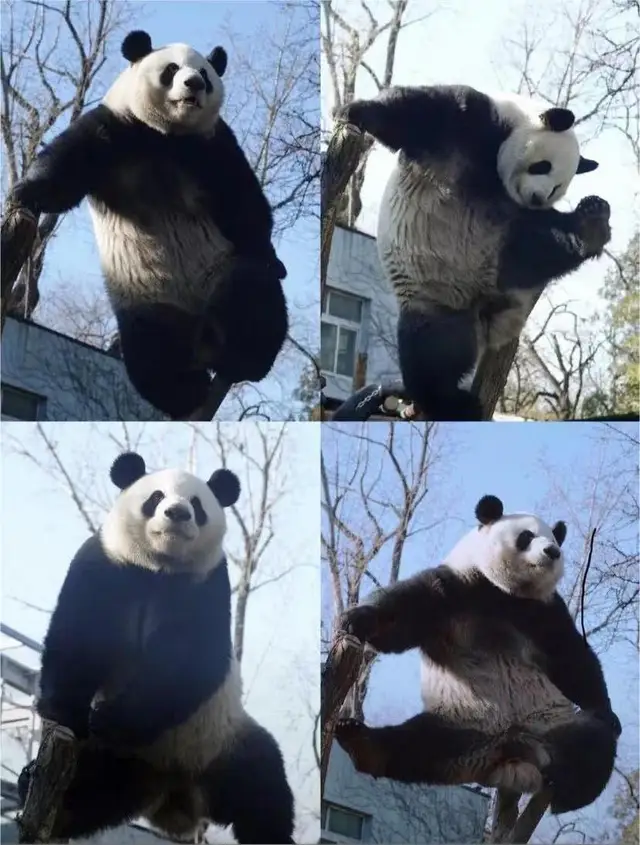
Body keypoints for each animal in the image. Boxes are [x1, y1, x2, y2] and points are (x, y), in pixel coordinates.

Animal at [10, 31, 288, 421]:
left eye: (205, 72)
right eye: (171, 69)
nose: (194, 84)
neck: (167, 135)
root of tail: (201, 337)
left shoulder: (212, 146)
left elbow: (242, 201)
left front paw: (272, 256)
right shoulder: (115, 128)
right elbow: (65, 167)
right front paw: (24, 194)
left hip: (218, 268)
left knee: (251, 293)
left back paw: (242, 358)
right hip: (149, 297)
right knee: (152, 352)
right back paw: (188, 390)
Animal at [17, 451, 295, 844]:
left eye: (197, 504)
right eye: (156, 496)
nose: (177, 513)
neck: (158, 569)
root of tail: (176, 794)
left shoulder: (206, 585)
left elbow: (190, 662)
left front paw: (108, 718)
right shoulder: (106, 565)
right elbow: (77, 638)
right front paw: (64, 710)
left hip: (223, 740)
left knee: (262, 790)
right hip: (125, 763)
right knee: (90, 789)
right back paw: (37, 790)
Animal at [334, 494, 621, 814]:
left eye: (553, 537)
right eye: (527, 535)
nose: (552, 551)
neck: (504, 592)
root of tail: (511, 755)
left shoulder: (543, 611)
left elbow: (571, 658)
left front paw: (606, 709)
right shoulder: (455, 588)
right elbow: (398, 619)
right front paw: (354, 620)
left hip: (549, 722)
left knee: (593, 740)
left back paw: (565, 788)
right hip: (467, 722)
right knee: (420, 745)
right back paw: (362, 744)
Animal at [340, 85, 612, 421]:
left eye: (557, 188)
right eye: (542, 166)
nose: (537, 198)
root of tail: (488, 308)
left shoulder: (514, 206)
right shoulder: (467, 121)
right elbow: (411, 114)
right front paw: (353, 112)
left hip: (498, 249)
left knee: (540, 246)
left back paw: (592, 224)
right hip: (436, 296)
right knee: (431, 349)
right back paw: (449, 401)